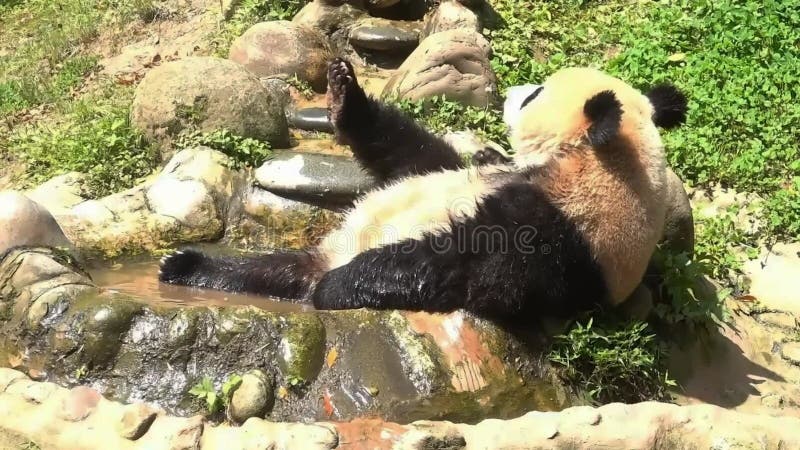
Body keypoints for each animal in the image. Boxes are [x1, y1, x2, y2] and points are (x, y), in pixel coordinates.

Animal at [158, 58, 687, 322]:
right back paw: (185, 266)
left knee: (282, 277)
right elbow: (415, 157)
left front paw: (344, 285)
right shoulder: (481, 169)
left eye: (536, 96)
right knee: (261, 271)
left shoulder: (564, 232)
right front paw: (344, 93)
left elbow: (466, 268)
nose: (514, 92)